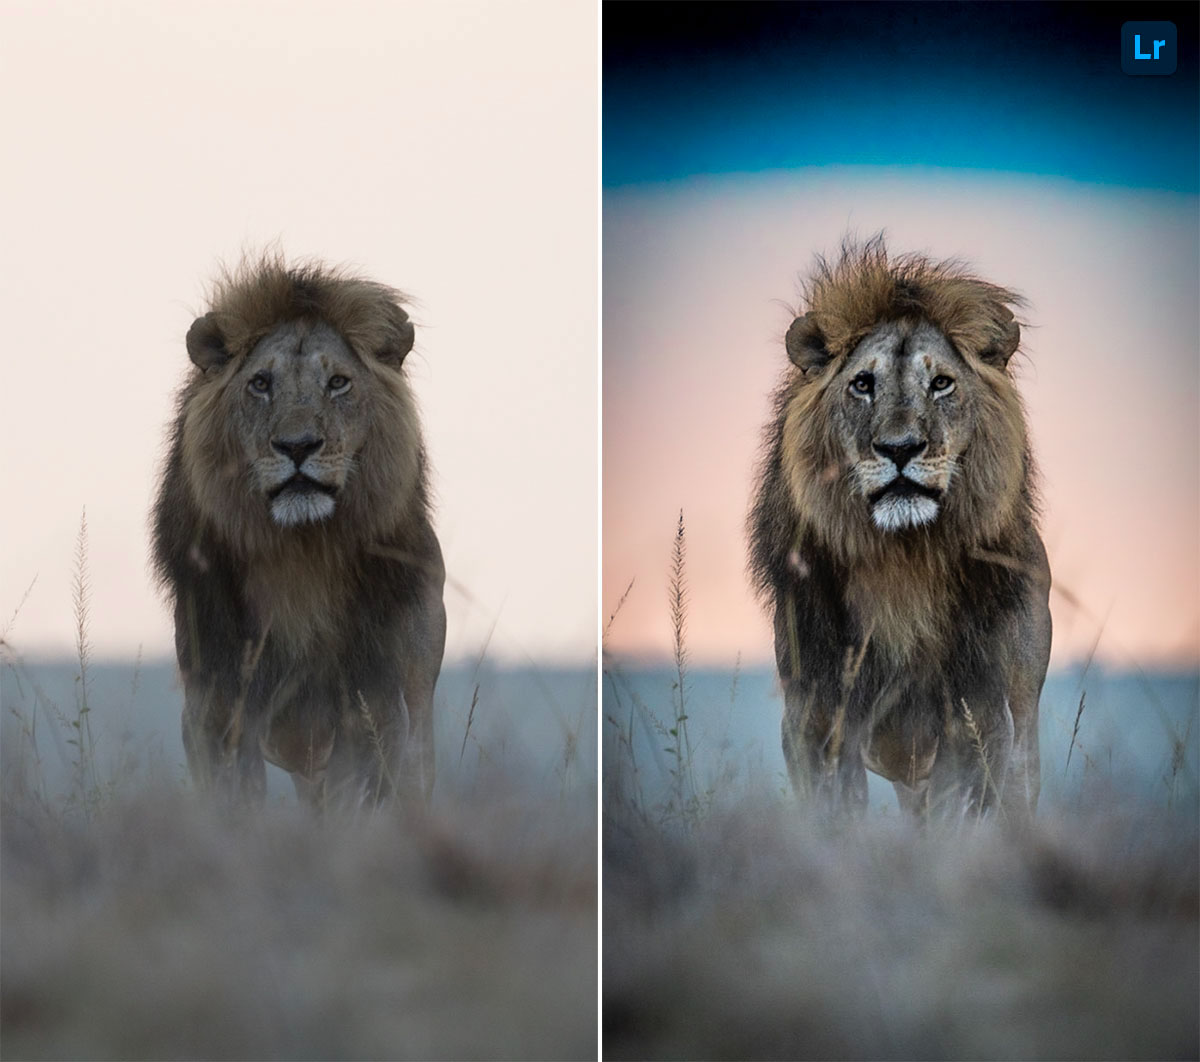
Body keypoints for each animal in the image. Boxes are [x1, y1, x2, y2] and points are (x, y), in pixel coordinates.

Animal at [152, 253, 446, 808]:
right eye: (261, 383)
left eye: (338, 383)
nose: (298, 445)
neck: (300, 555)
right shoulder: (214, 714)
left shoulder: (373, 712)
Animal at [748, 235, 1051, 818]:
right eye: (863, 384)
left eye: (941, 384)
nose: (900, 448)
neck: (901, 562)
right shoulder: (813, 723)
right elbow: (834, 821)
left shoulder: (977, 722)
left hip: (1021, 722)